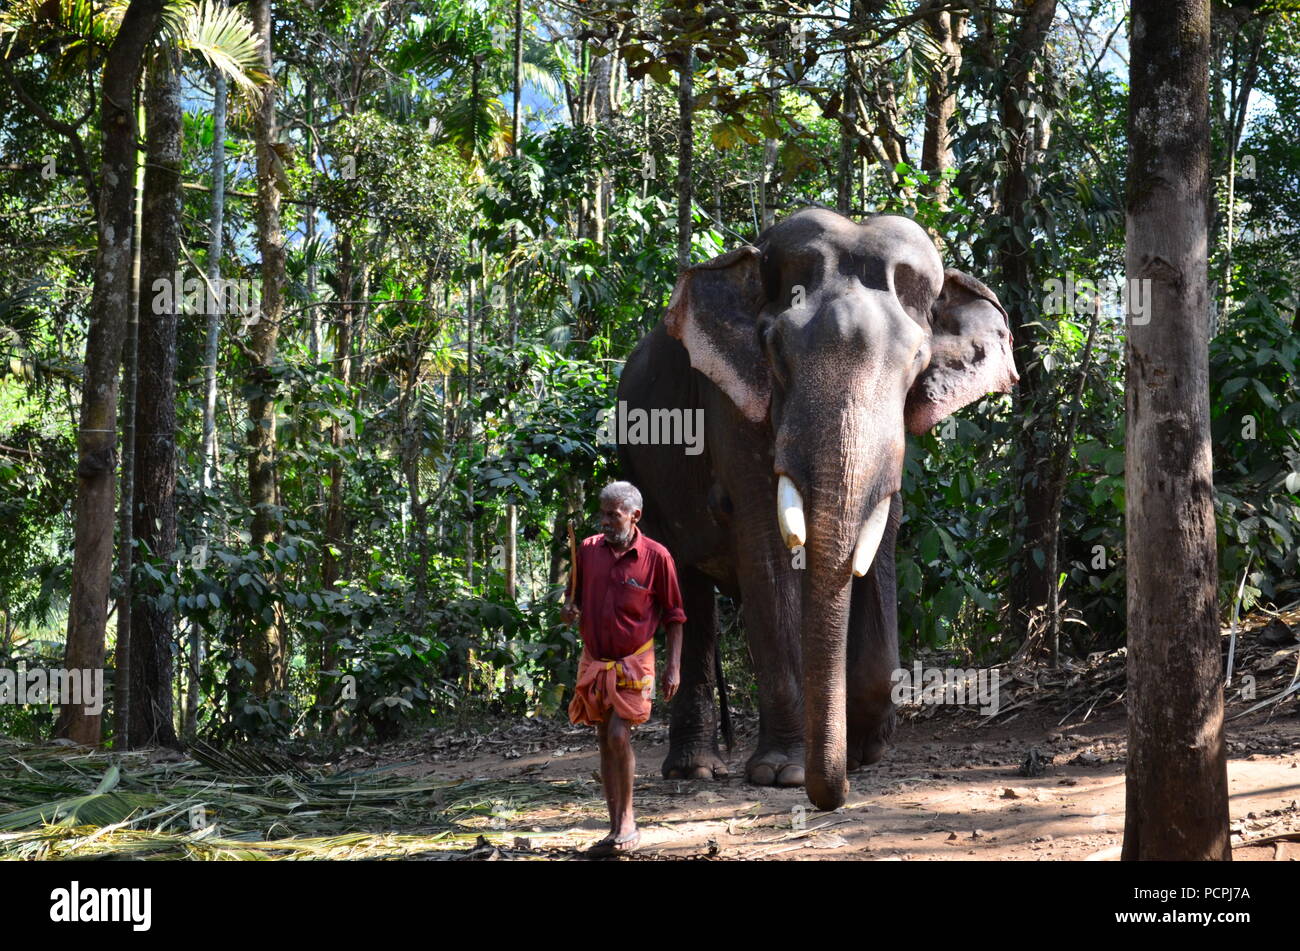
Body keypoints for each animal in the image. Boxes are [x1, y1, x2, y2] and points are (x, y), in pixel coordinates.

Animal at [616, 206, 1018, 810]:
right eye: (776, 351)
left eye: (917, 363)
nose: (830, 794)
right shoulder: (731, 406)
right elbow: (767, 551)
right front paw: (783, 772)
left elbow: (878, 538)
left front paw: (863, 751)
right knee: (691, 595)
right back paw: (696, 769)